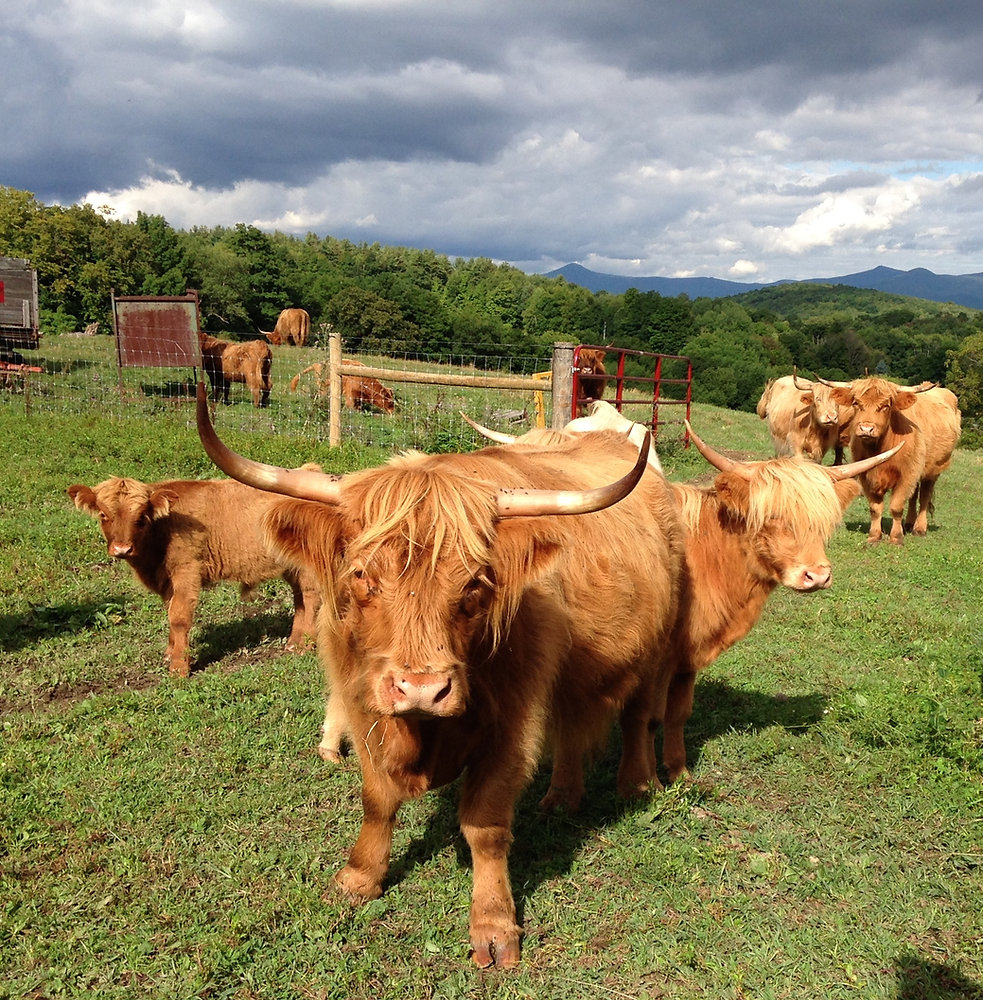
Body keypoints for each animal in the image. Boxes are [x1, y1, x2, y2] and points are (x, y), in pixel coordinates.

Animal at [67, 474, 322, 678]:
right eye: (103, 514)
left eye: (141, 517)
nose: (122, 549)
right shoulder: (167, 580)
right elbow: (170, 610)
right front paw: (170, 653)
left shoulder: (186, 571)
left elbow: (179, 616)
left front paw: (179, 667)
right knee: (300, 598)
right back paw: (293, 642)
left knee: (311, 598)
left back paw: (305, 645)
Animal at [195, 383, 684, 968]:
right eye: (361, 575)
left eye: (474, 585)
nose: (423, 690)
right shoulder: (362, 703)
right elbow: (376, 797)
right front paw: (359, 877)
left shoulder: (512, 724)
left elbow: (485, 824)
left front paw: (493, 926)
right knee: (571, 723)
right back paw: (562, 798)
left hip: (656, 645)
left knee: (638, 717)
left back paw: (636, 784)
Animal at [821, 376, 961, 544]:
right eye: (856, 403)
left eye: (886, 406)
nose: (866, 429)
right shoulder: (866, 475)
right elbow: (875, 508)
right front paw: (874, 536)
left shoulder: (907, 475)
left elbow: (896, 507)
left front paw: (896, 538)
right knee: (914, 495)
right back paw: (909, 523)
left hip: (934, 470)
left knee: (924, 496)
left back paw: (919, 528)